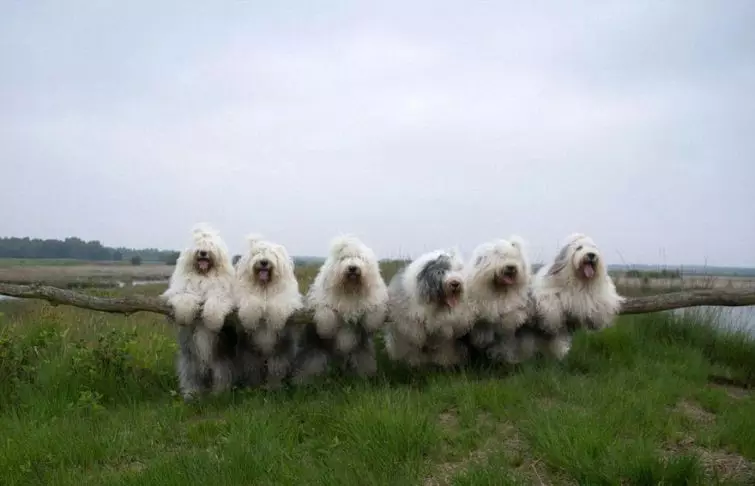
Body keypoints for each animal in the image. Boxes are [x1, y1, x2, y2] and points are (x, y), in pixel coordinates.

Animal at [464, 235, 536, 364]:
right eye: (501, 256)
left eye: (514, 258)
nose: (511, 267)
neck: (499, 290)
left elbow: (506, 339)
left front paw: (504, 357)